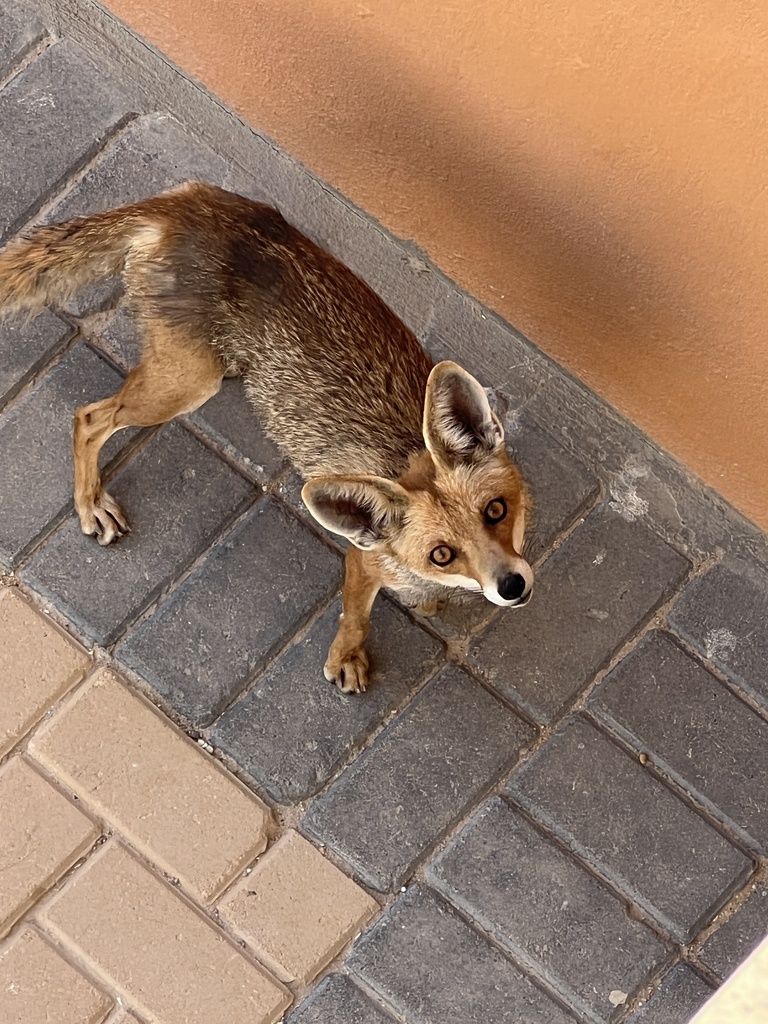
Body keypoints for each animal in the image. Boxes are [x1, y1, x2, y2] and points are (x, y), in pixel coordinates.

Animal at [0, 181, 533, 692]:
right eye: (442, 552)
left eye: (495, 511)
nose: (512, 586)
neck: (400, 455)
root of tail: (181, 202)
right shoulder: (362, 559)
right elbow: (356, 617)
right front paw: (347, 658)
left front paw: (430, 603)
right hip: (187, 385)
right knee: (88, 418)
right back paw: (90, 501)